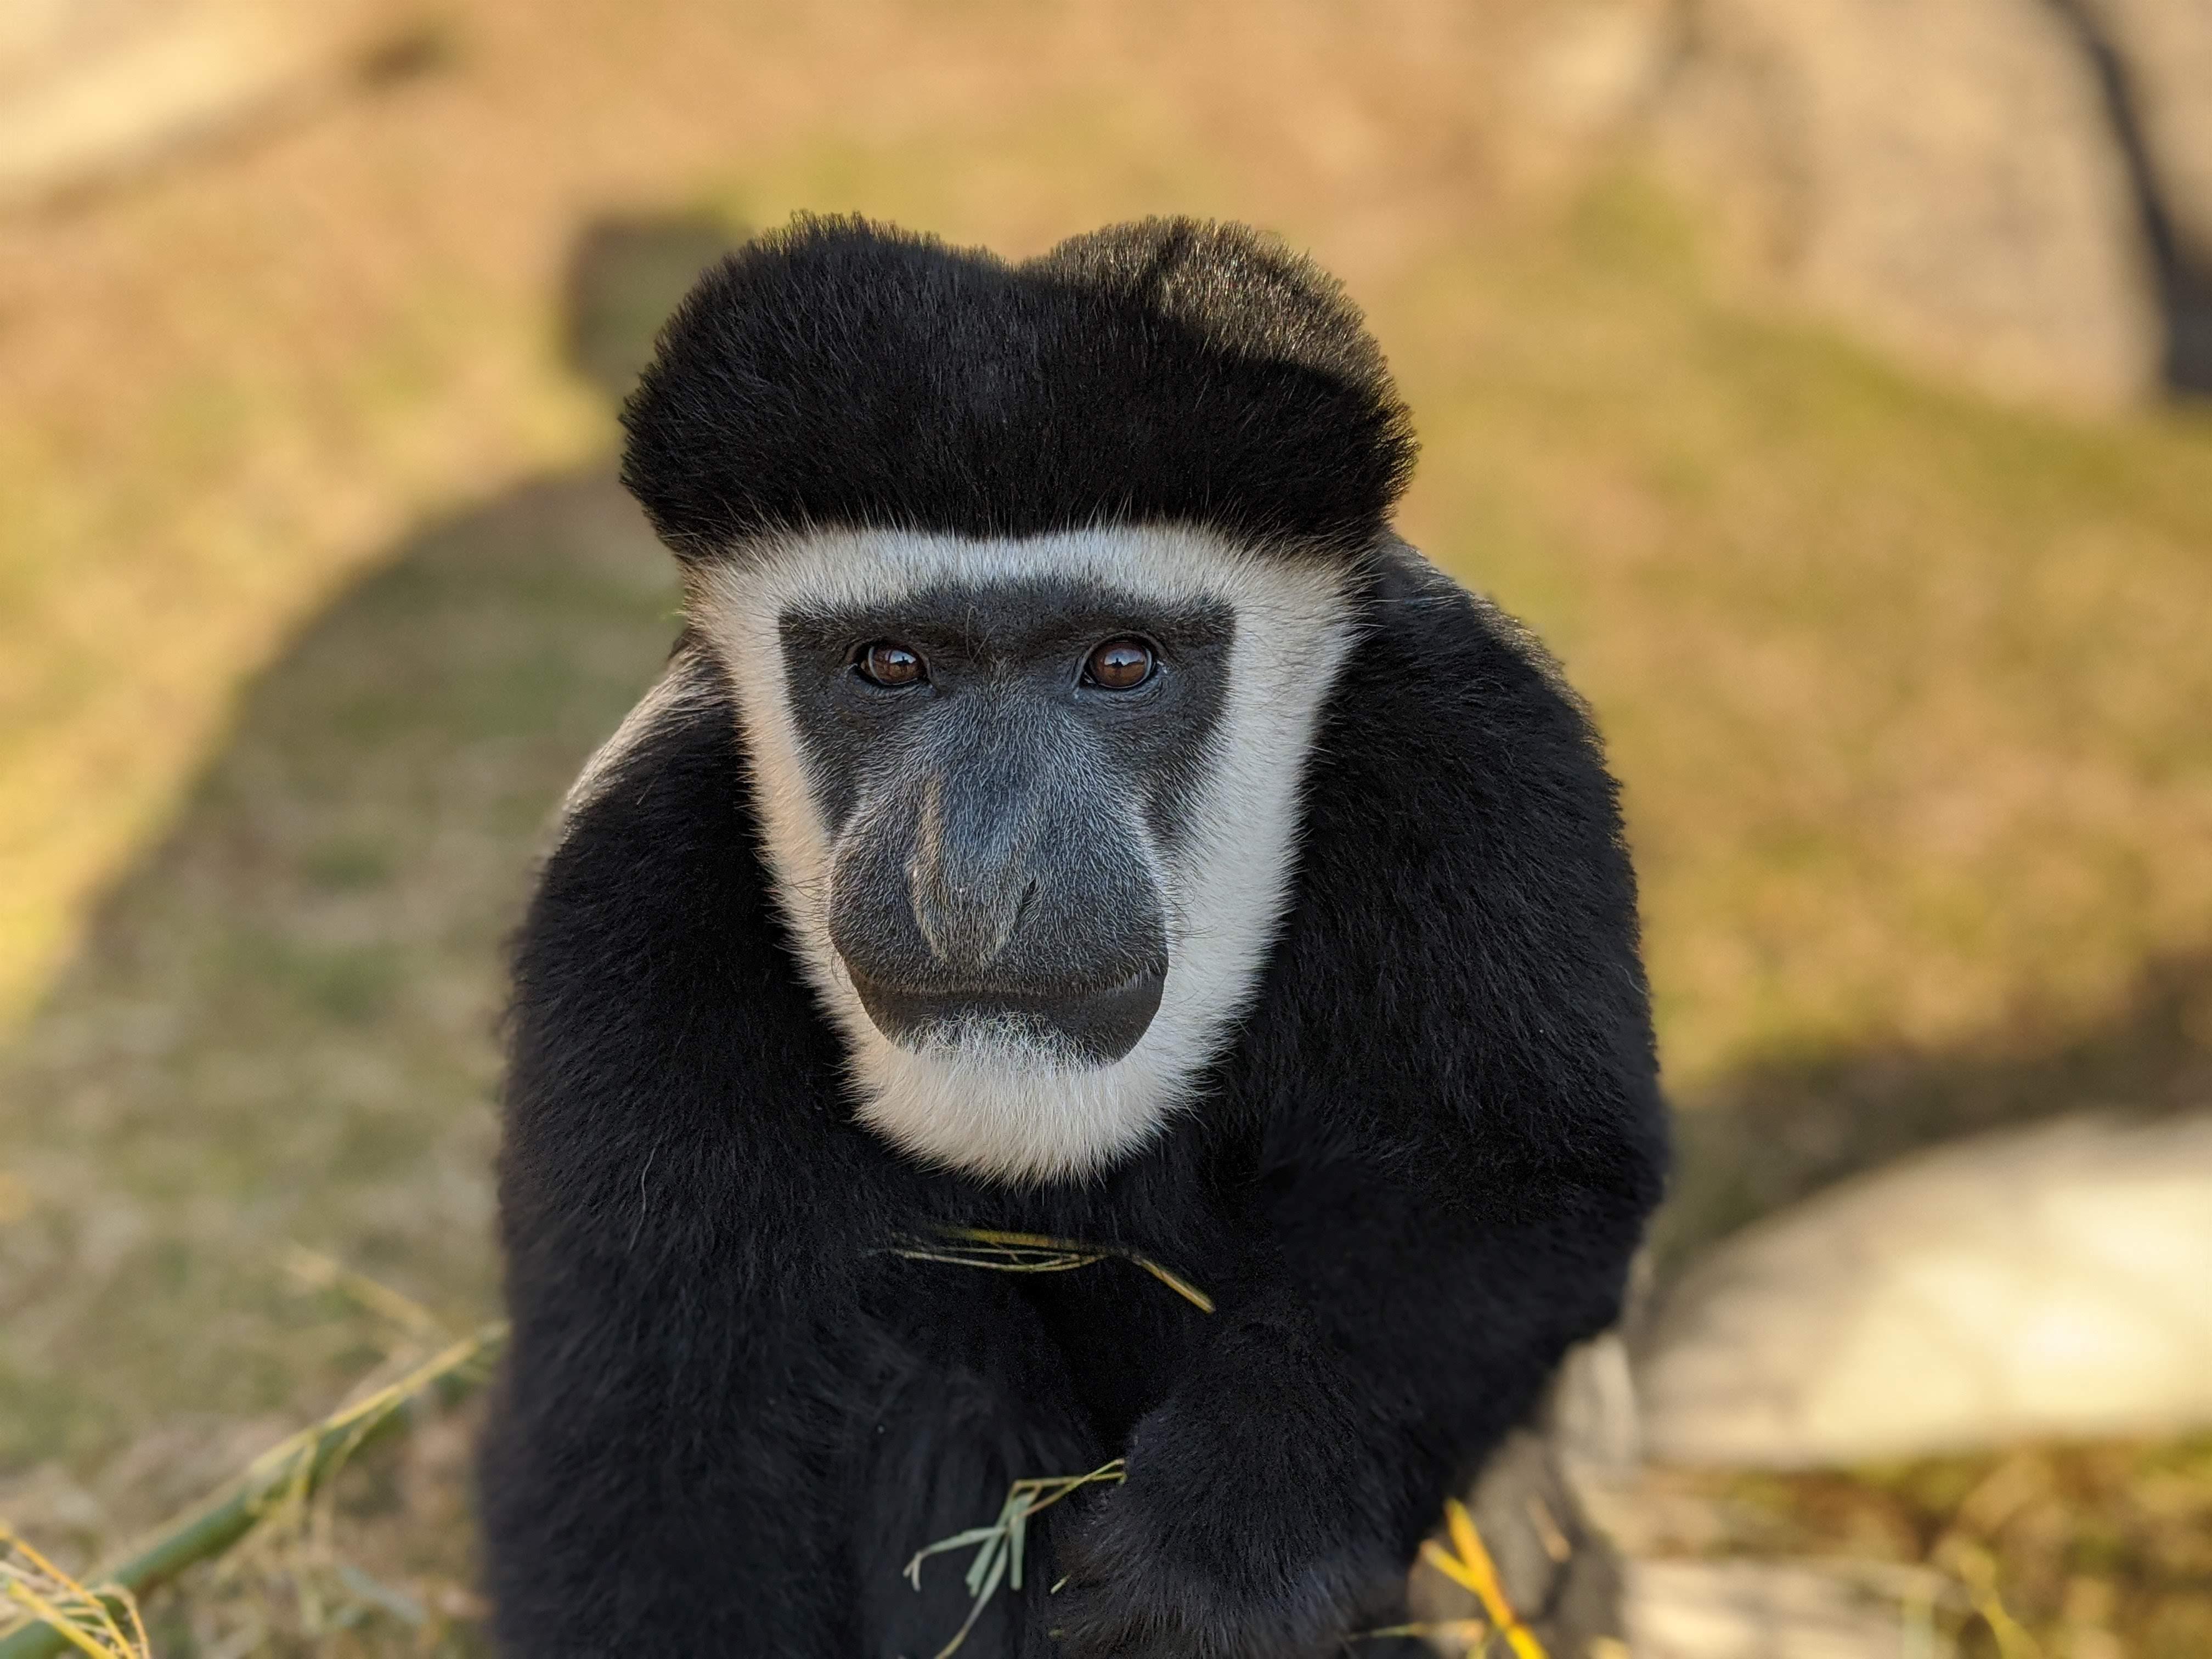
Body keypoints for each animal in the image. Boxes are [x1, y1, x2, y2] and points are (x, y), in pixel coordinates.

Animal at [477, 214, 1666, 1659]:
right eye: (892, 665)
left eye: (1120, 663)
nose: (978, 878)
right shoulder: (630, 896)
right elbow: (649, 1439)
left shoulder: (1487, 763)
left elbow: (1513, 1181)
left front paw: (1218, 1553)